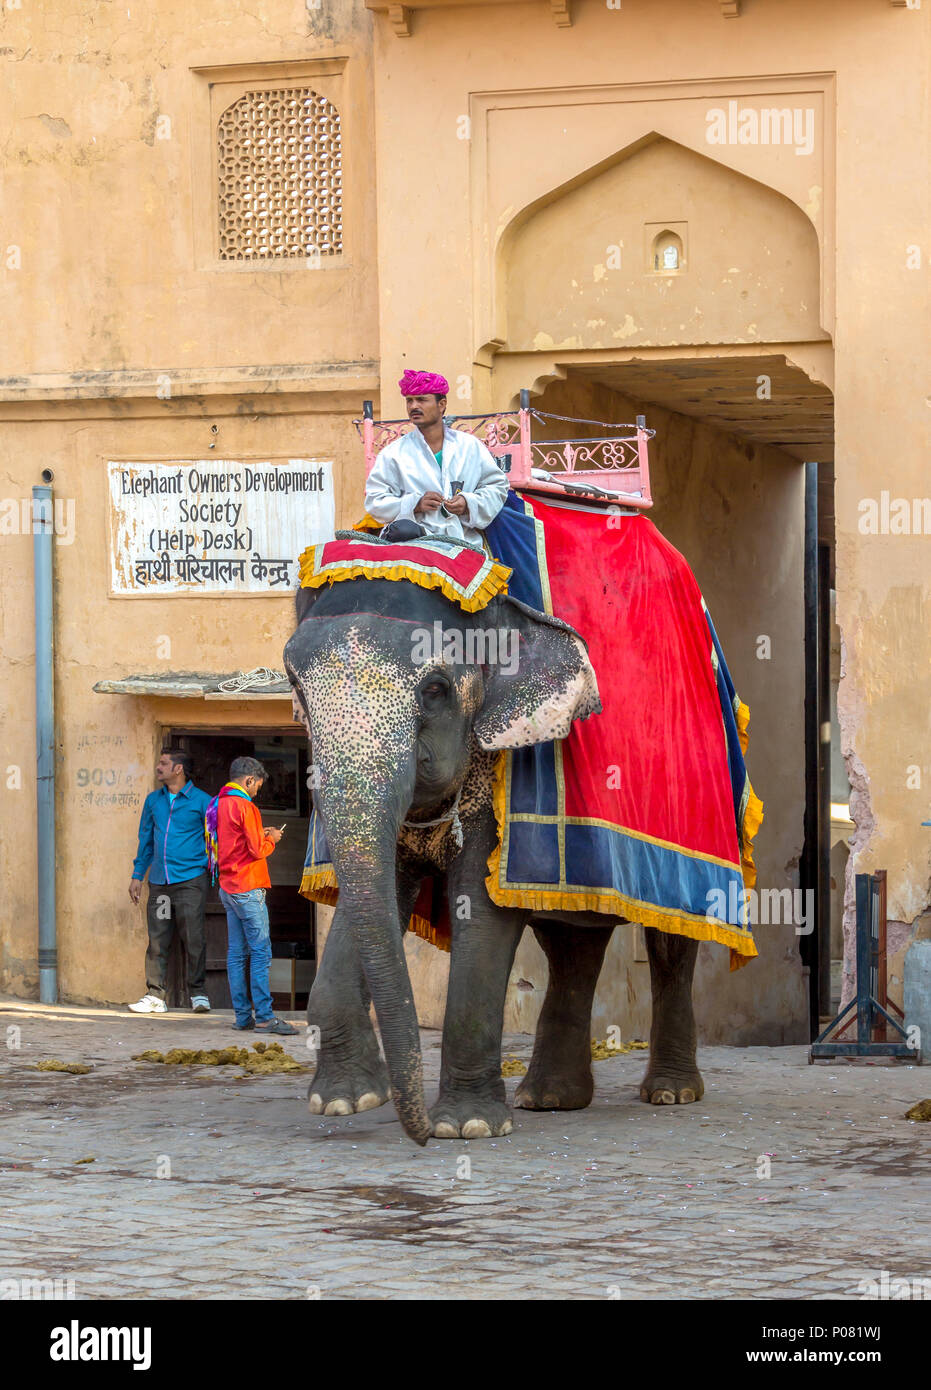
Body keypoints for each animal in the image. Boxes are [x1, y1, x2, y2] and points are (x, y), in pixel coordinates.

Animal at [284, 565, 705, 1146]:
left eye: (435, 690)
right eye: (295, 685)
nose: (416, 1134)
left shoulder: (506, 772)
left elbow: (481, 907)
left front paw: (467, 1127)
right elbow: (374, 892)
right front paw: (345, 1100)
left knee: (670, 940)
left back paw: (670, 1093)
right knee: (570, 941)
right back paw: (550, 1099)